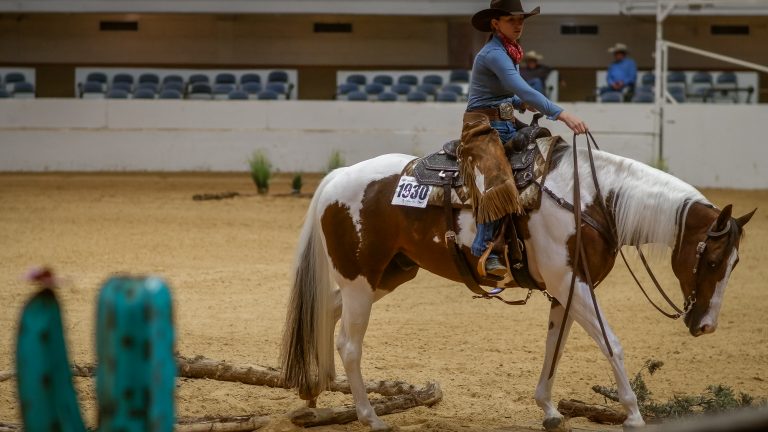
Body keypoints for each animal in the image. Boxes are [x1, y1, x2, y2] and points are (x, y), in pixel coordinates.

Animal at [279, 137, 756, 431]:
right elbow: (611, 344)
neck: (590, 201)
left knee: (328, 309)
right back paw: (369, 415)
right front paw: (634, 414)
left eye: (735, 263)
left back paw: (317, 389)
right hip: (362, 280)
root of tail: (339, 176)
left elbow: (555, 347)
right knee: (349, 343)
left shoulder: (566, 289)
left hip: (388, 274)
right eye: (714, 260)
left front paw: (548, 408)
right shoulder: (572, 283)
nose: (706, 325)